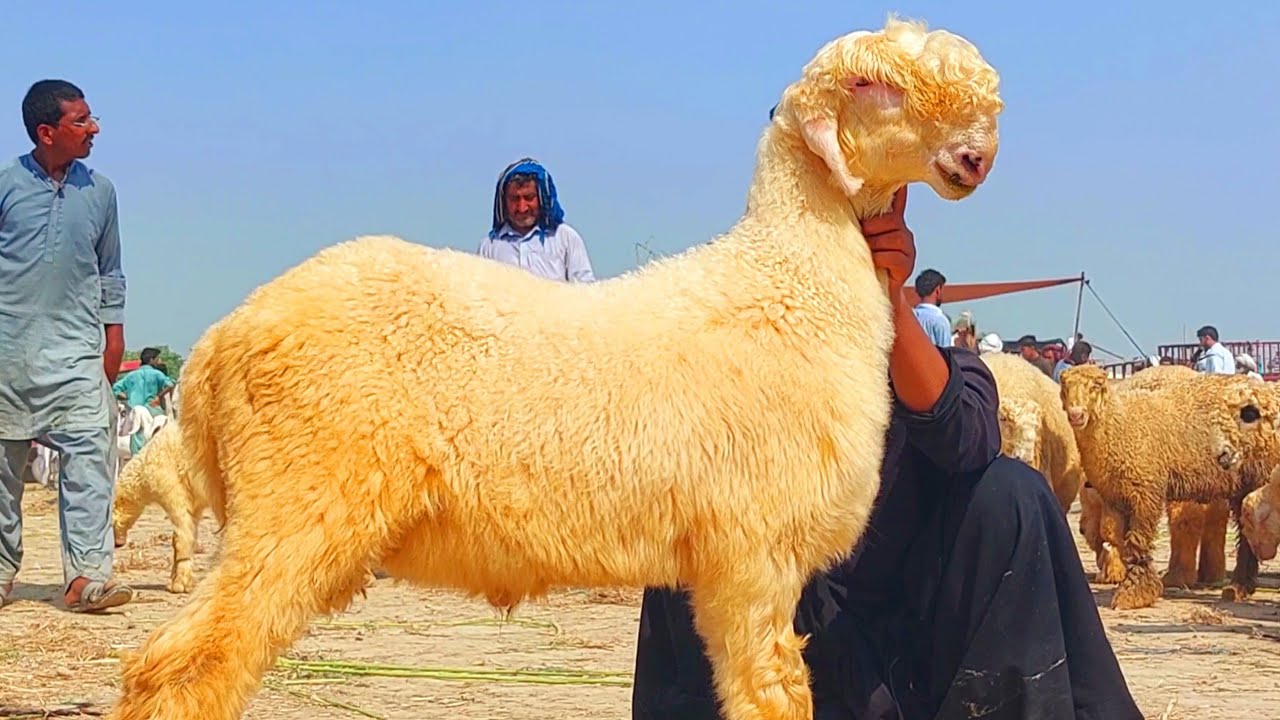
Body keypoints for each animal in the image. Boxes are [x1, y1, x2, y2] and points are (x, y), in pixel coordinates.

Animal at [108, 17, 1004, 720]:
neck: (785, 285)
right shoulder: (752, 555)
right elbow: (773, 696)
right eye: (870, 82)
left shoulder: (727, 566)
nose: (977, 157)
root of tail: (220, 341)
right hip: (298, 500)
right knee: (184, 666)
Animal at [1058, 363, 1277, 609]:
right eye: (1064, 385)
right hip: (1244, 485)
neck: (1121, 423)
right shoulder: (1117, 497)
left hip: (1259, 477)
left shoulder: (1145, 490)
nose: (1076, 414)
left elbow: (1137, 541)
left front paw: (1135, 593)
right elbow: (1123, 540)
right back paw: (1238, 587)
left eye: (1096, 385)